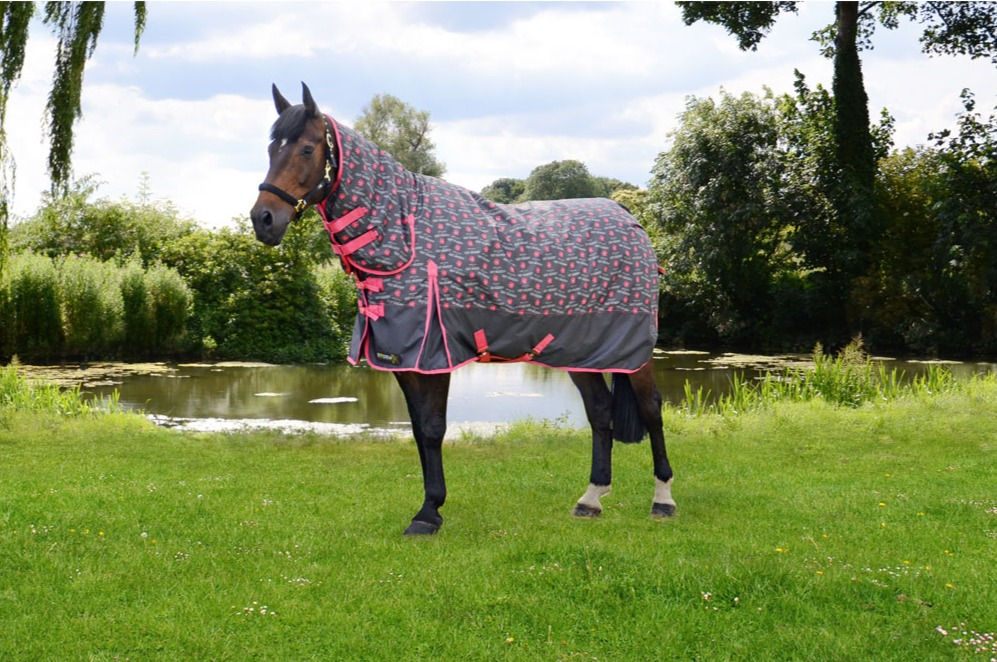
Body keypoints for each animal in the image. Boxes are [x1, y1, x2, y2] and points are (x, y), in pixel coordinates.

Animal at [250, 82, 676, 536]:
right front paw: (428, 508)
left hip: (632, 353)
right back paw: (591, 499)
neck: (406, 236)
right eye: (271, 148)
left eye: (307, 148)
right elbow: (418, 430)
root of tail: (628, 217)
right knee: (600, 413)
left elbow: (433, 428)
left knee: (651, 409)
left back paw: (663, 500)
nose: (263, 219)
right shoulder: (403, 359)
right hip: (581, 351)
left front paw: (427, 515)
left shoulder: (435, 355)